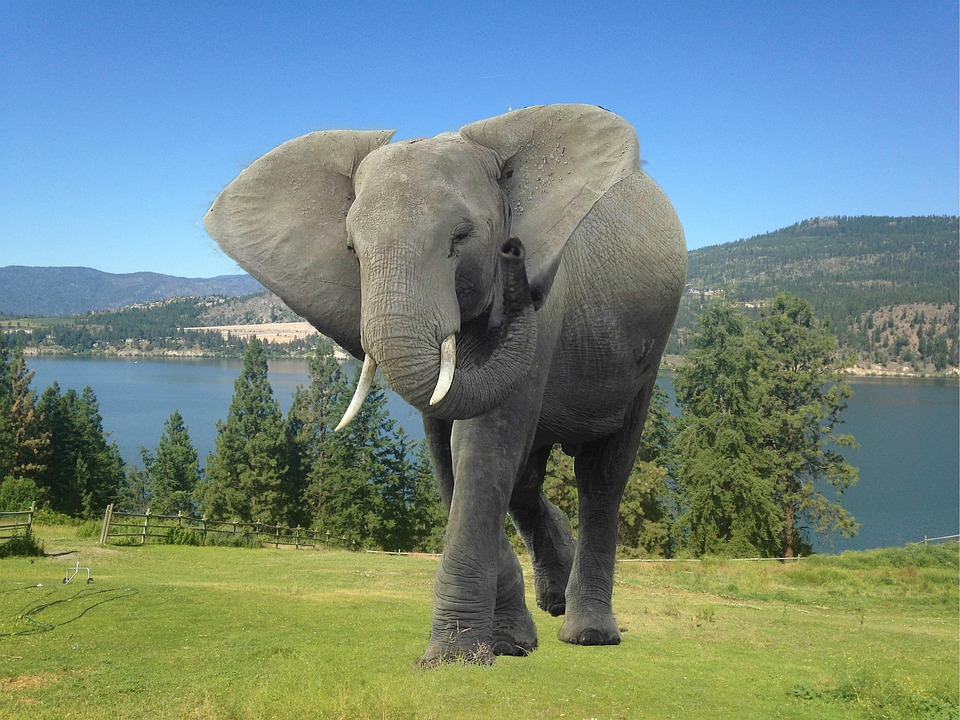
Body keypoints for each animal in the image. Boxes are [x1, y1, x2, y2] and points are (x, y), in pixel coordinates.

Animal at [204, 104, 686, 665]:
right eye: (352, 249)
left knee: (603, 475)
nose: (514, 252)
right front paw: (507, 645)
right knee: (526, 481)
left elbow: (483, 442)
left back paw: (588, 633)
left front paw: (452, 659)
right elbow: (446, 449)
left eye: (462, 237)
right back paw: (554, 600)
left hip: (650, 351)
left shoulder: (550, 303)